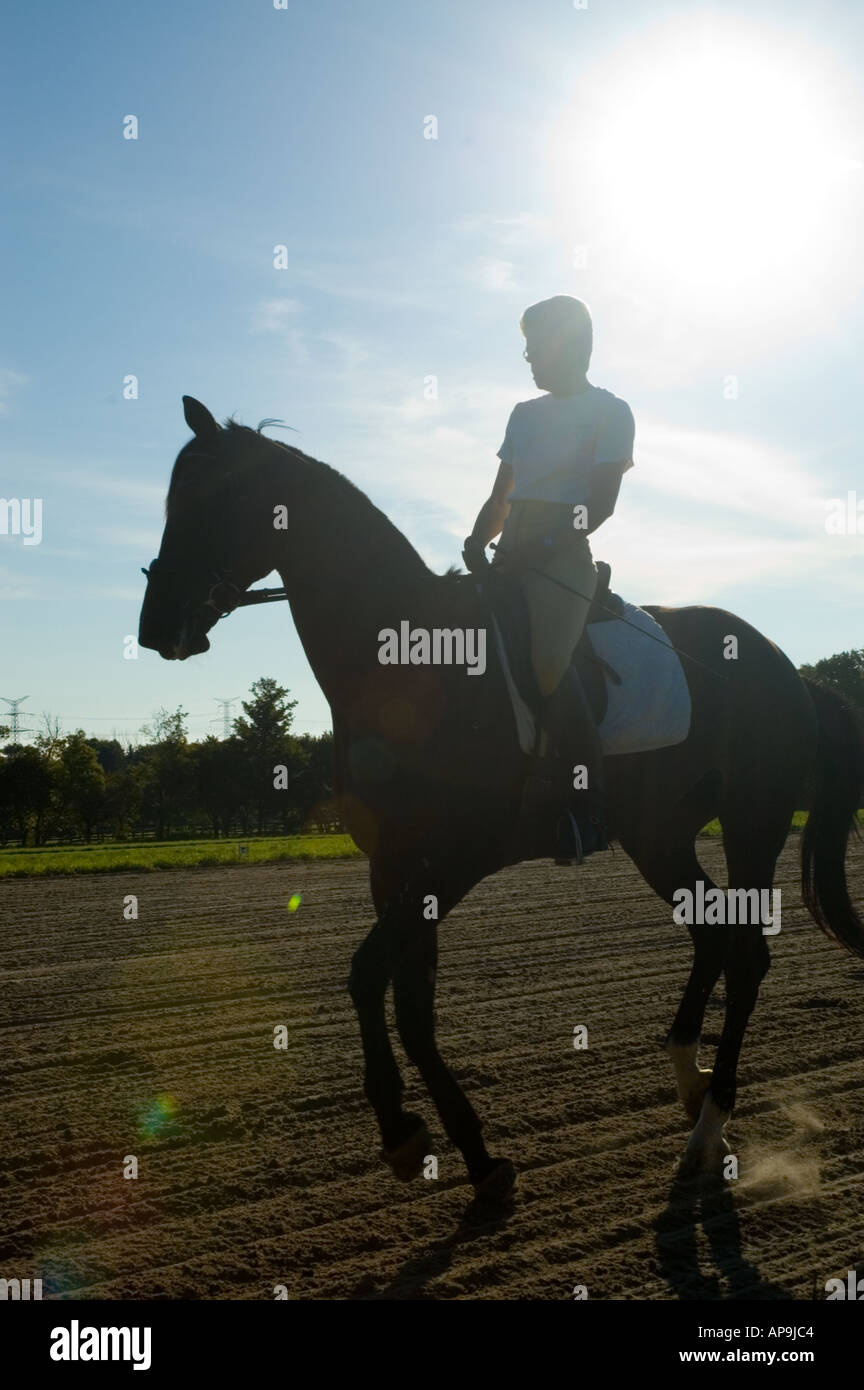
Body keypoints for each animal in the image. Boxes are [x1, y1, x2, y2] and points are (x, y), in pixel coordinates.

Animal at [138, 396, 864, 1204]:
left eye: (210, 500)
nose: (155, 624)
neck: (406, 660)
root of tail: (789, 669)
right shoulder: (394, 864)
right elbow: (410, 1002)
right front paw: (472, 1152)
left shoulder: (462, 853)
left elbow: (366, 975)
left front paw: (403, 1131)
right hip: (659, 835)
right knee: (712, 936)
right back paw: (689, 1080)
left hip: (753, 823)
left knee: (746, 956)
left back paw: (708, 1126)